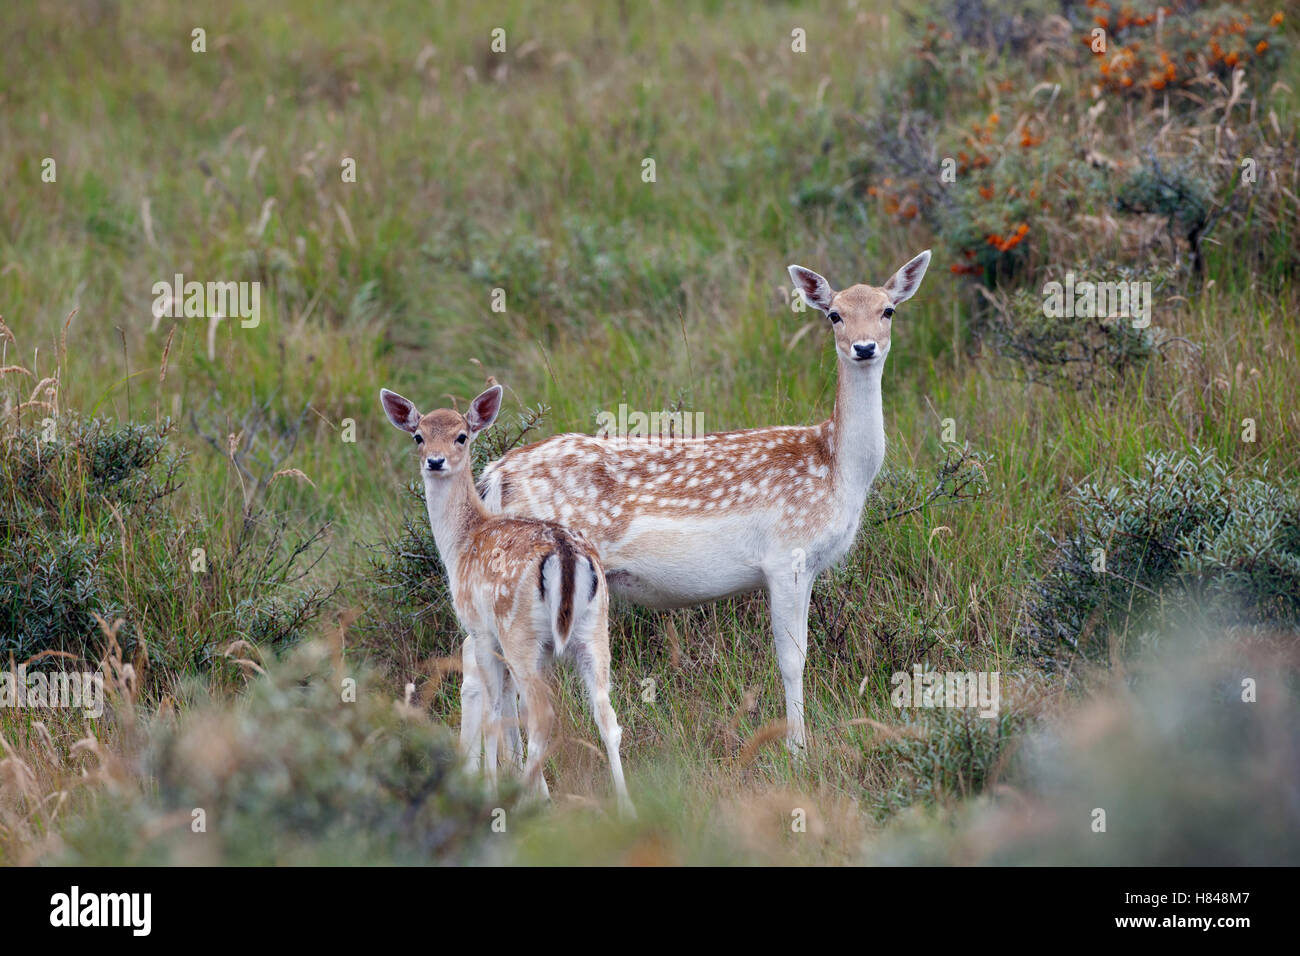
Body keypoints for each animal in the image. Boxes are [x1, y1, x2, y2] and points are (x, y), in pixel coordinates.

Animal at [380, 383, 635, 818]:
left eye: (461, 436)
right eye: (418, 436)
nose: (435, 461)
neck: (462, 543)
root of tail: (566, 553)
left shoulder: (480, 629)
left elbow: (494, 712)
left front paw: (489, 787)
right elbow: (505, 711)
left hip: (521, 633)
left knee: (543, 715)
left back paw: (527, 802)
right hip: (595, 629)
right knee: (607, 716)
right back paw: (625, 806)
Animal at [476, 251, 932, 753]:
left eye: (888, 310)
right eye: (834, 314)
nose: (864, 347)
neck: (836, 469)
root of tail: (494, 476)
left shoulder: (807, 565)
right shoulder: (785, 556)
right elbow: (792, 658)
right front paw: (797, 748)